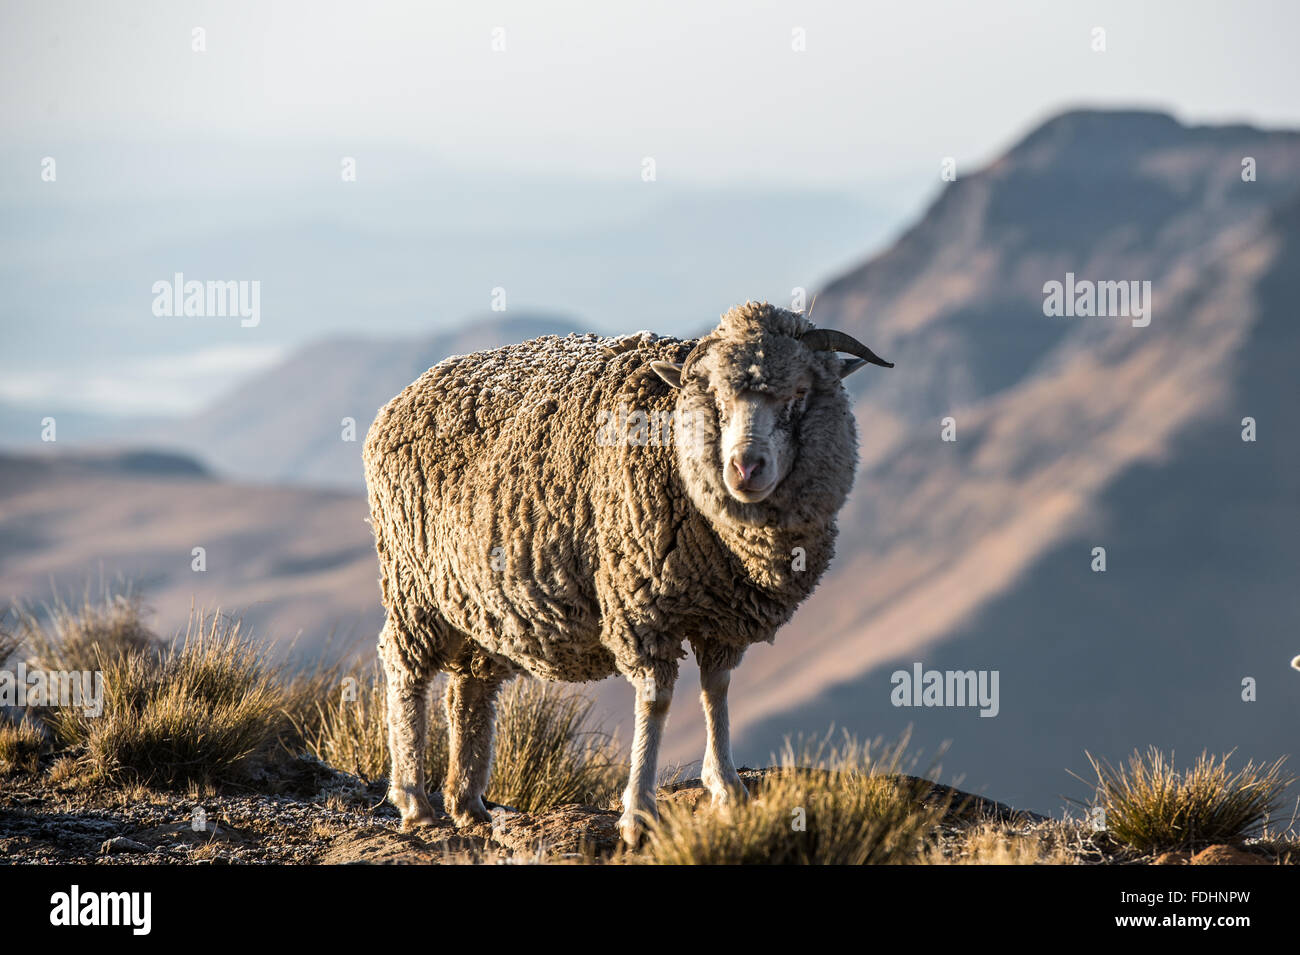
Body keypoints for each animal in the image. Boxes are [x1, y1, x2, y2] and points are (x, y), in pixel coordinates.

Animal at [362, 301, 893, 844]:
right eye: (714, 399)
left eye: (800, 394)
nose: (744, 469)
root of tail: (402, 398)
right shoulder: (641, 604)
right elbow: (656, 701)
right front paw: (638, 813)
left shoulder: (724, 616)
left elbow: (717, 690)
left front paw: (727, 790)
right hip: (411, 581)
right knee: (405, 669)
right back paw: (414, 801)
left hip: (479, 601)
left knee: (470, 687)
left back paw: (468, 805)